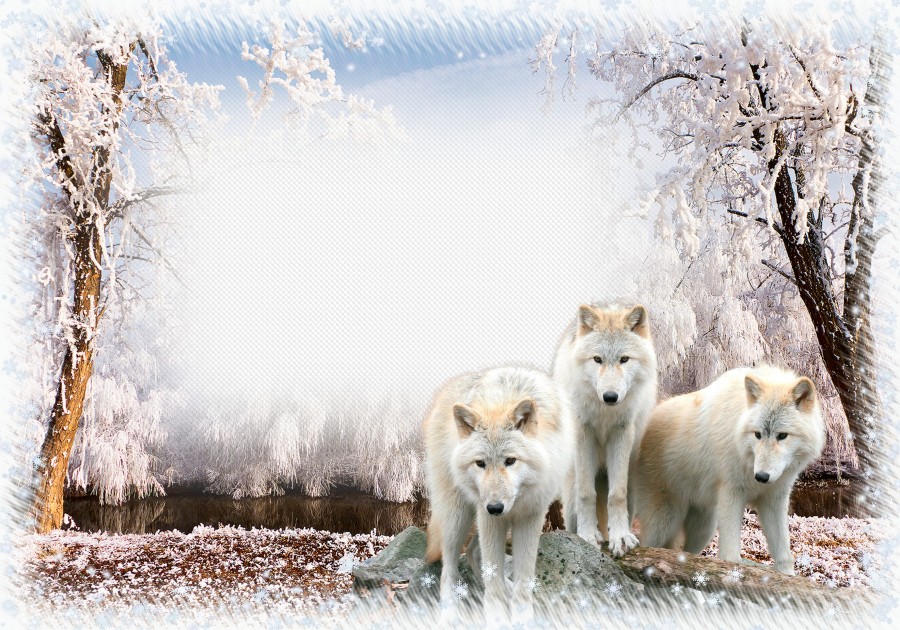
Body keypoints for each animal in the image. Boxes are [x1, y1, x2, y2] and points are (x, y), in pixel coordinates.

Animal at [423, 365, 575, 623]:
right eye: (480, 463)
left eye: (510, 461)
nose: (495, 507)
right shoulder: (488, 517)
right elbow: (492, 582)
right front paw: (497, 617)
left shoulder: (530, 517)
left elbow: (524, 578)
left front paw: (522, 618)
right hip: (458, 518)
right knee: (449, 567)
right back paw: (450, 613)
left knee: (473, 553)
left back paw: (506, 588)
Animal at [553, 303, 657, 557]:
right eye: (597, 359)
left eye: (624, 359)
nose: (610, 396)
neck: (604, 411)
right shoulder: (583, 432)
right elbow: (586, 493)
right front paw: (588, 535)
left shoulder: (621, 432)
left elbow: (616, 495)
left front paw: (620, 538)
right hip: (570, 496)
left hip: (631, 484)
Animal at [633, 365, 826, 574]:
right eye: (757, 434)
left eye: (782, 435)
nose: (761, 476)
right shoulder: (732, 494)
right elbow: (730, 555)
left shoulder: (774, 499)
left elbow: (783, 553)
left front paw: (787, 575)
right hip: (664, 521)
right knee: (646, 546)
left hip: (704, 528)